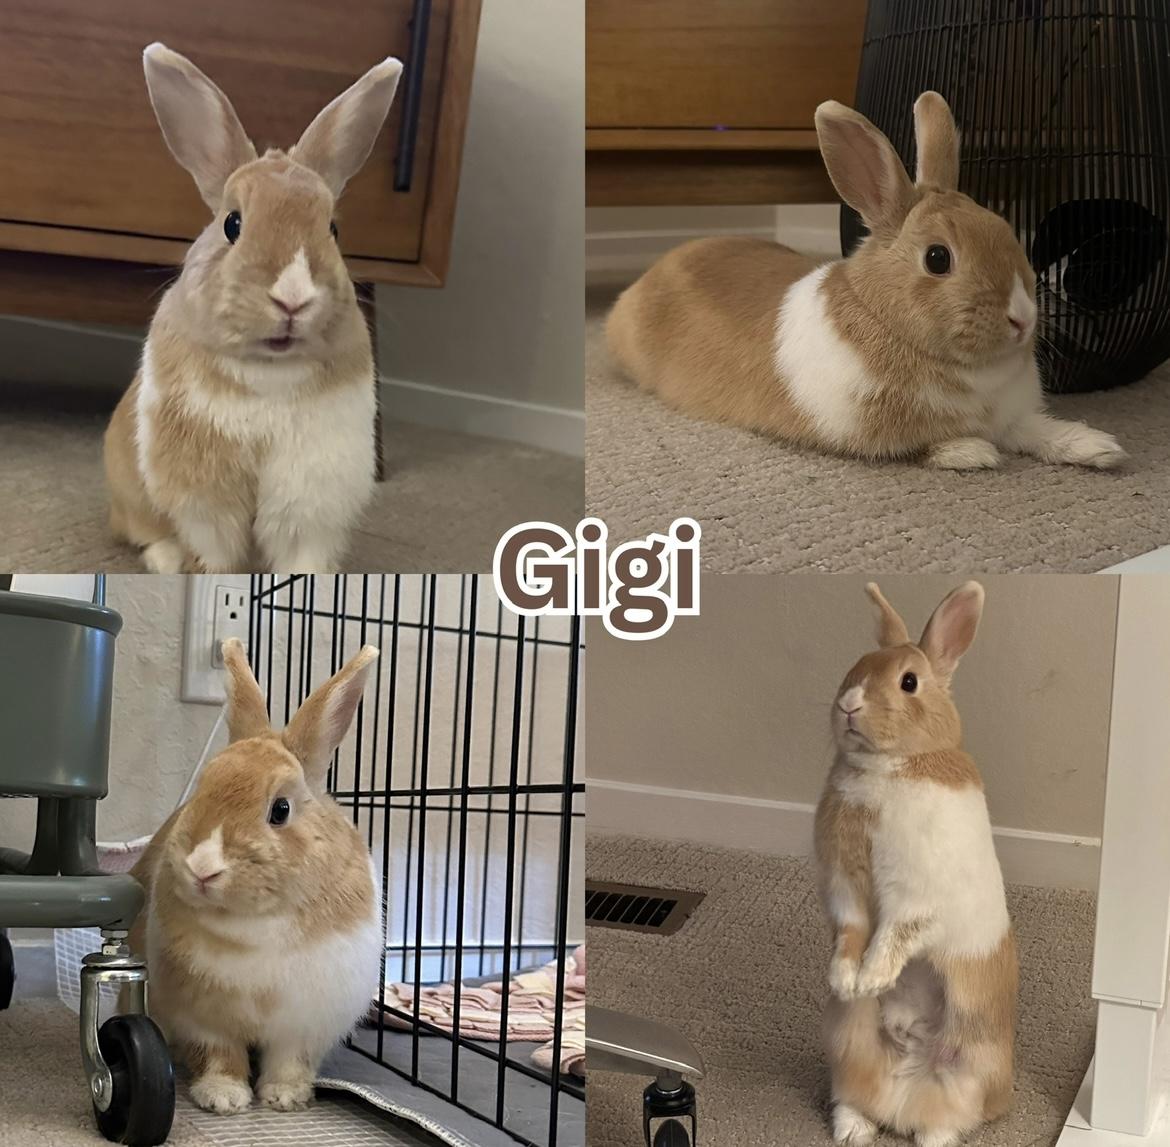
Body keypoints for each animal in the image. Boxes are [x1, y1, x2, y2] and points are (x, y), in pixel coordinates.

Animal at [104, 44, 403, 574]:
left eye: (333, 229)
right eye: (233, 223)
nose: (293, 295)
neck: (270, 367)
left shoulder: (310, 496)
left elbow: (303, 558)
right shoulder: (204, 499)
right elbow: (212, 554)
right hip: (130, 497)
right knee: (141, 530)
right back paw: (164, 559)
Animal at [125, 638, 382, 1114]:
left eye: (280, 809)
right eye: (201, 792)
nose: (202, 867)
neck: (257, 923)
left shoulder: (304, 1023)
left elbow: (291, 1061)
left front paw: (286, 1097)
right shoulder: (202, 1018)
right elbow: (218, 1056)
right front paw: (223, 1099)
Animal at [606, 92, 1125, 472]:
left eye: (1005, 228)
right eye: (938, 258)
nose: (1022, 319)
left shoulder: (1011, 417)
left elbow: (1035, 431)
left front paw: (1100, 447)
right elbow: (927, 445)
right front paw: (970, 453)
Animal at [814, 581, 1017, 1147]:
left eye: (909, 682)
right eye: (856, 667)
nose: (849, 705)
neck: (889, 765)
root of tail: (905, 1088)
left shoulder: (916, 896)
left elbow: (893, 935)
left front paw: (872, 981)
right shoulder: (846, 886)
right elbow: (852, 931)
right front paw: (845, 981)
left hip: (970, 1070)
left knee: (947, 1120)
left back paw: (928, 1134)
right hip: (846, 1043)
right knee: (856, 1097)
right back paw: (854, 1131)